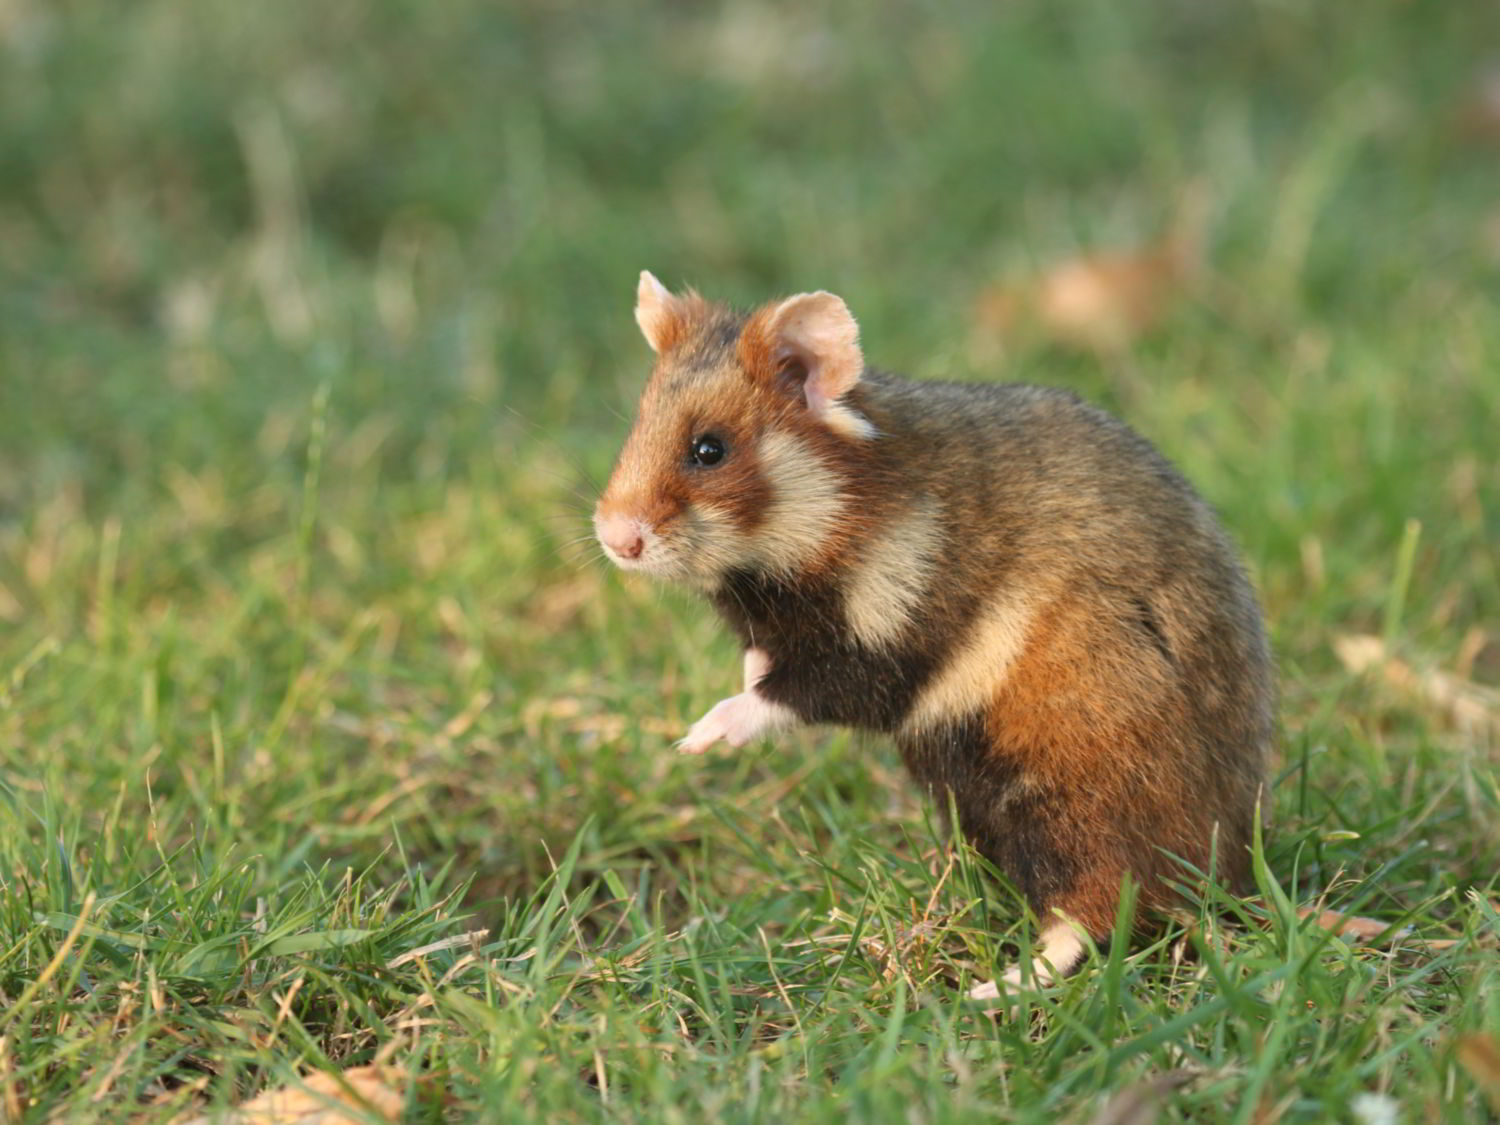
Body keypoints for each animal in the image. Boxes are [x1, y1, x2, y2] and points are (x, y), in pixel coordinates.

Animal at [594, 272, 1274, 996]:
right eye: (636, 428)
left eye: (709, 449)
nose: (614, 540)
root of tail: (1226, 881)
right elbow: (762, 670)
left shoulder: (890, 639)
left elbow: (787, 694)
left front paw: (694, 738)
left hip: (1076, 792)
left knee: (1095, 913)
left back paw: (986, 989)